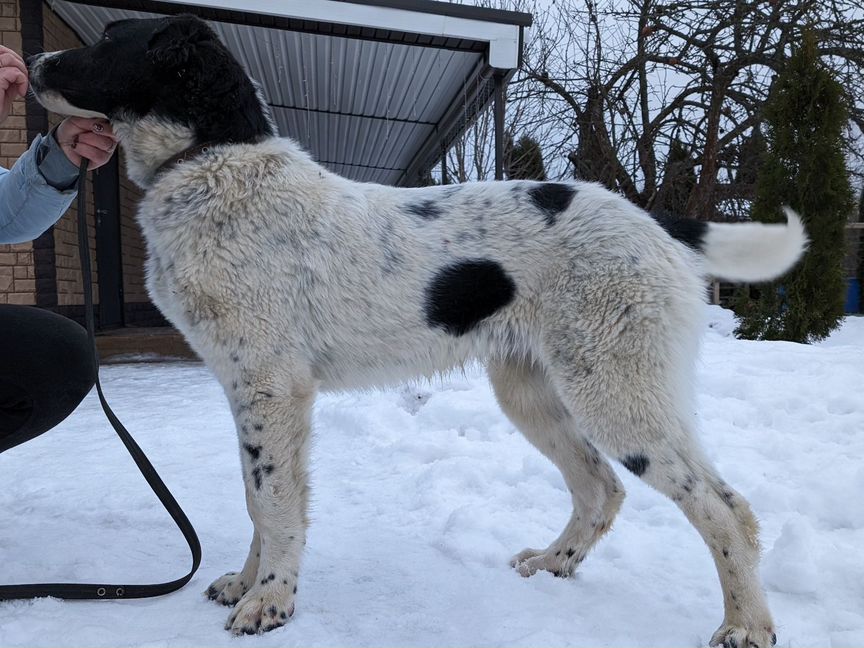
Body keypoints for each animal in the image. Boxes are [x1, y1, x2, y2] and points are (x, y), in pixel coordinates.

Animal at [28, 13, 808, 644]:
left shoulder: (273, 389)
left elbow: (274, 503)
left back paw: (746, 625)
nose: (31, 62)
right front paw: (248, 583)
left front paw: (270, 603)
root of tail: (651, 219)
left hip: (618, 390)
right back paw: (553, 564)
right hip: (534, 391)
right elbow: (257, 499)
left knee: (725, 509)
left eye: (108, 41)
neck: (210, 160)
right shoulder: (248, 389)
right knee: (600, 487)